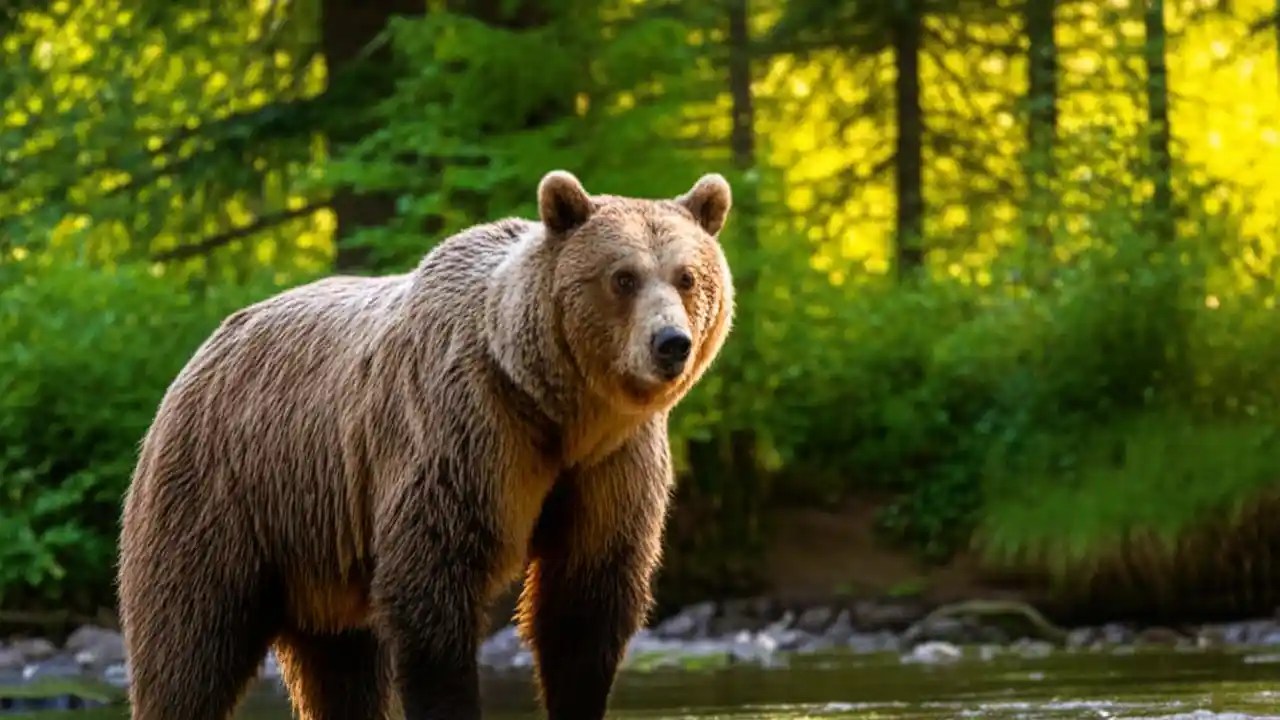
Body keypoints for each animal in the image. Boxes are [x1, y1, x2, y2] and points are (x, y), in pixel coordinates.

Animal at [115, 169, 735, 720]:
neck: (557, 409)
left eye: (687, 276)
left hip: (320, 545)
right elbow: (433, 590)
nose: (670, 343)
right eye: (623, 277)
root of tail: (203, 351)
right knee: (190, 643)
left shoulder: (609, 463)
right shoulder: (465, 429)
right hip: (226, 493)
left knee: (340, 666)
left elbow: (586, 602)